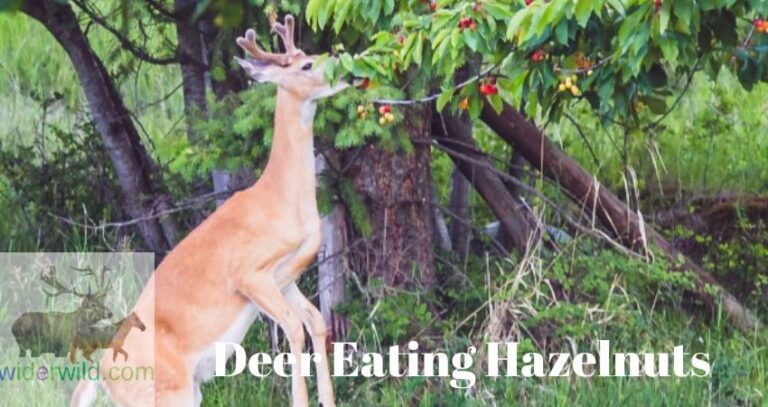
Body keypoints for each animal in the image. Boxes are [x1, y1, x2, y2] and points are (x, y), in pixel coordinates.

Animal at [70, 14, 364, 407]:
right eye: (306, 65)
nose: (349, 73)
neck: (281, 199)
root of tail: (100, 372)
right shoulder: (249, 274)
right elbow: (294, 329)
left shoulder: (286, 276)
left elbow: (316, 321)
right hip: (165, 392)